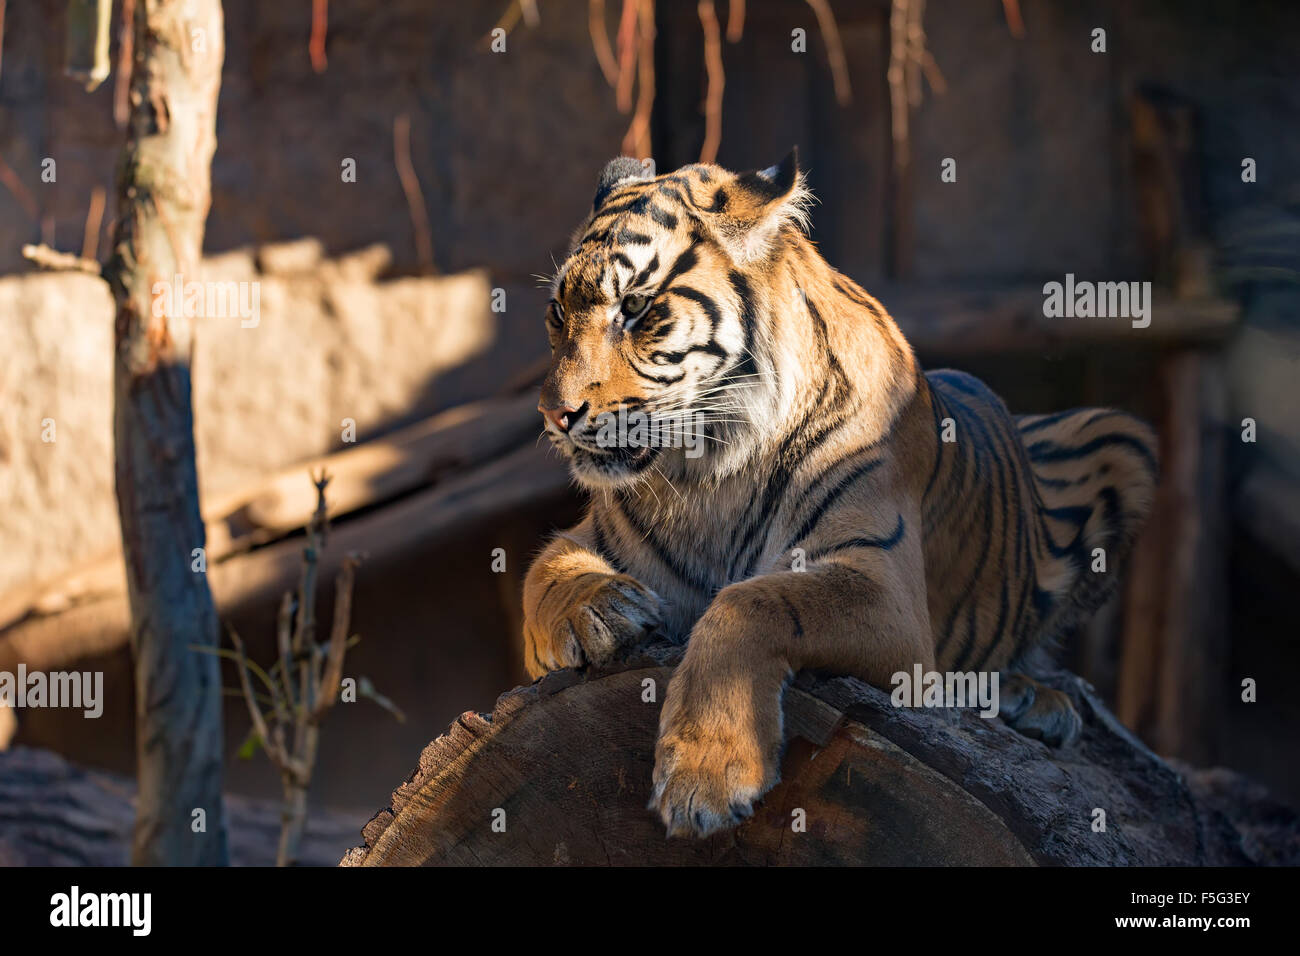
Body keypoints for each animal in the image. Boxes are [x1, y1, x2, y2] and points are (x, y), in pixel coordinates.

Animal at [522, 150, 1158, 839]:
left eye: (637, 307)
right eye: (558, 312)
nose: (555, 414)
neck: (710, 471)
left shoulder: (886, 588)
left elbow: (753, 601)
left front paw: (706, 776)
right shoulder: (593, 537)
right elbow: (540, 576)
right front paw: (600, 612)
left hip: (1123, 439)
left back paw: (1034, 701)